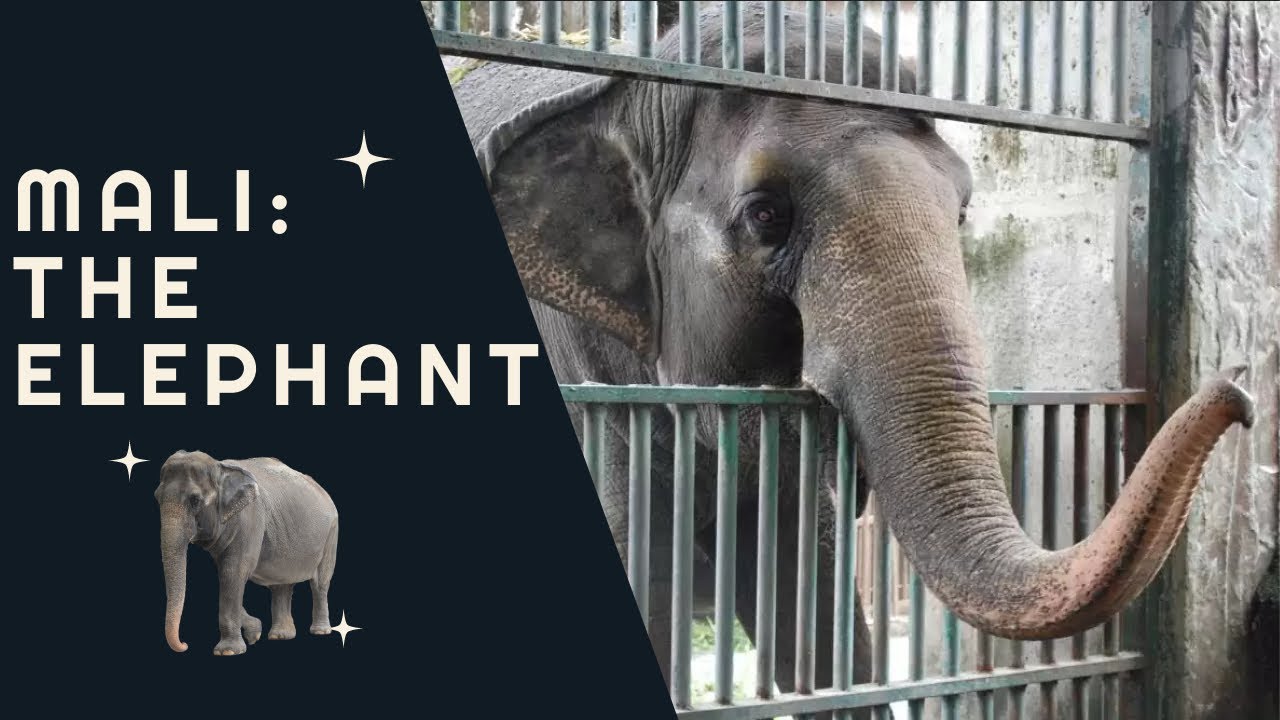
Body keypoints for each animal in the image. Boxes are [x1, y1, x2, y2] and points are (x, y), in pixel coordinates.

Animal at [154, 450, 339, 656]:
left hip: (331, 534)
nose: (185, 644)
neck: (220, 467)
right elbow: (229, 575)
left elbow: (233, 573)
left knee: (320, 582)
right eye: (157, 498)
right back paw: (280, 636)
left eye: (195, 500)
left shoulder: (249, 520)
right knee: (281, 585)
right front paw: (254, 633)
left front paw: (228, 651)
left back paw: (320, 631)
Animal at [448, 2, 1255, 713]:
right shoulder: (590, 380)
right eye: (766, 214)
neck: (626, 88)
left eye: (962, 209)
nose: (1240, 392)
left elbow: (818, 617)